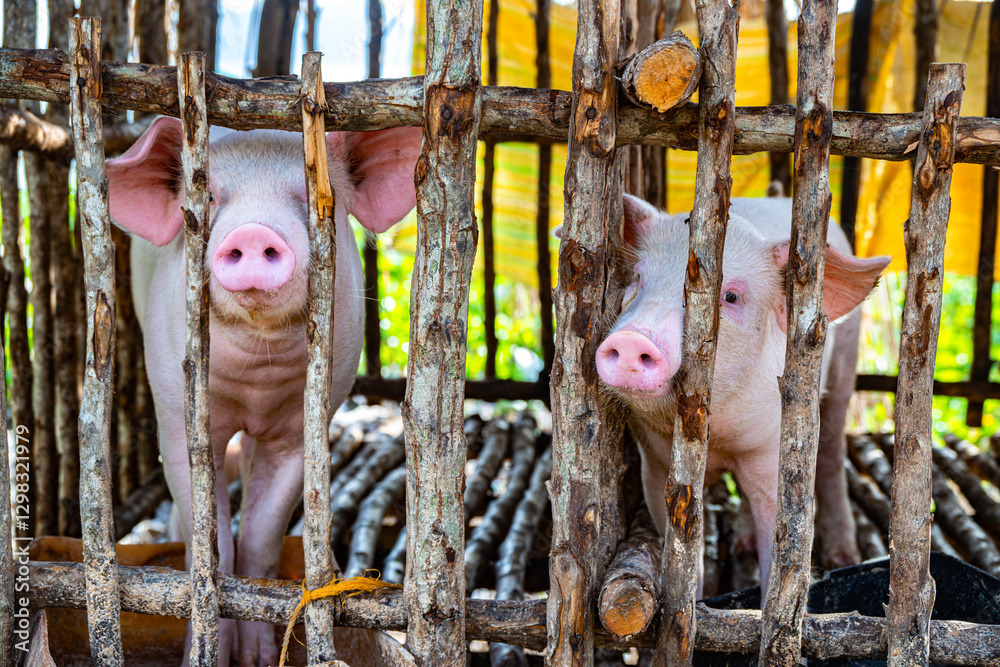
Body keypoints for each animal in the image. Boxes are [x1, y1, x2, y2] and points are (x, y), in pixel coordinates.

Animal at [106, 117, 422, 666]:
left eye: (315, 198)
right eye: (207, 196)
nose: (253, 232)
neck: (257, 377)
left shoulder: (302, 430)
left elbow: (259, 535)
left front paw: (255, 657)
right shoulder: (176, 410)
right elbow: (209, 538)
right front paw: (207, 652)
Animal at [596, 194, 891, 592]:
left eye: (731, 296)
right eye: (639, 279)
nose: (631, 339)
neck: (721, 438)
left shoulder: (772, 448)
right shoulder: (655, 464)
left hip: (846, 362)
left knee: (831, 450)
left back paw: (843, 558)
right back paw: (741, 546)